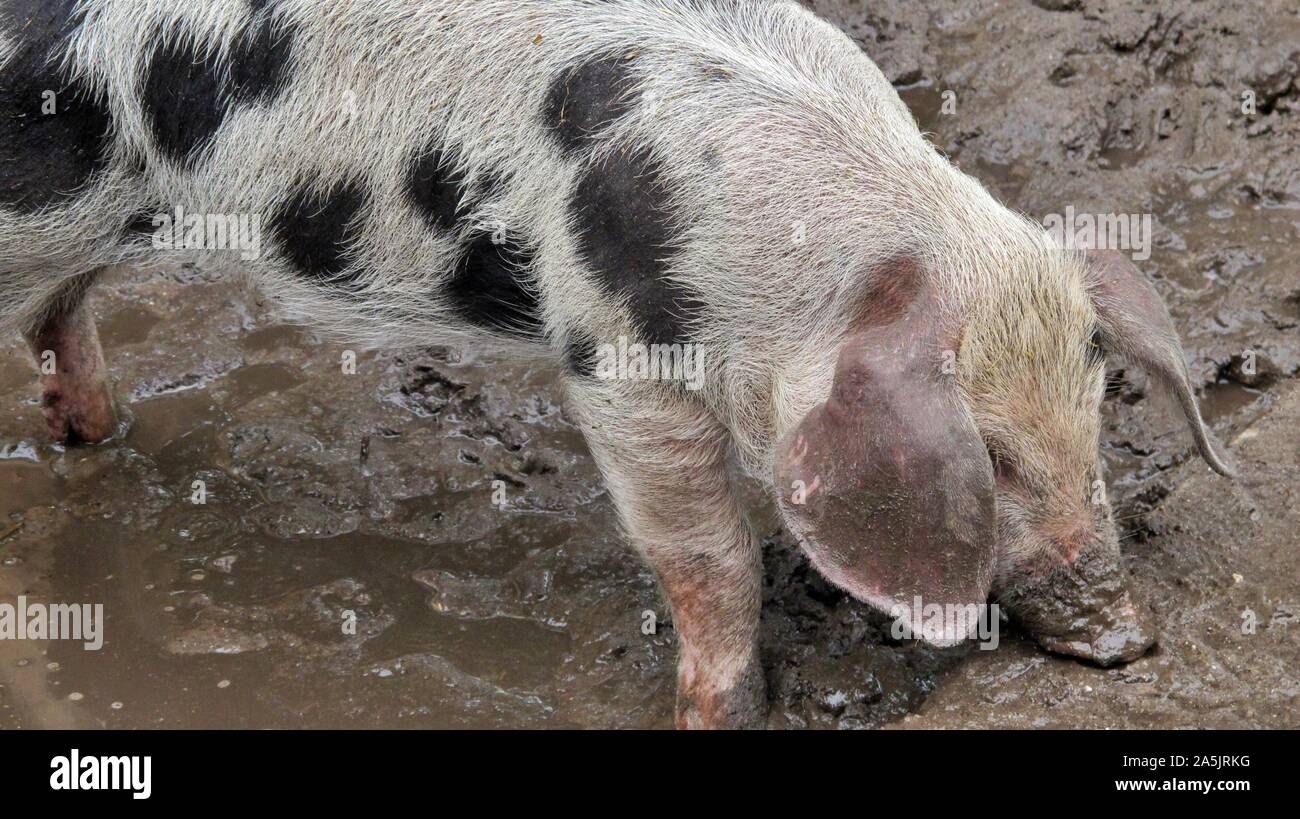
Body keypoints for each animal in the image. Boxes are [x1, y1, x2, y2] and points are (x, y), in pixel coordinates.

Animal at [0, 0, 1233, 729]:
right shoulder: (615, 358)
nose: (1128, 638)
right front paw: (720, 715)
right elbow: (707, 554)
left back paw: (91, 431)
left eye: (1100, 414)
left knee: (63, 317)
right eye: (996, 463)